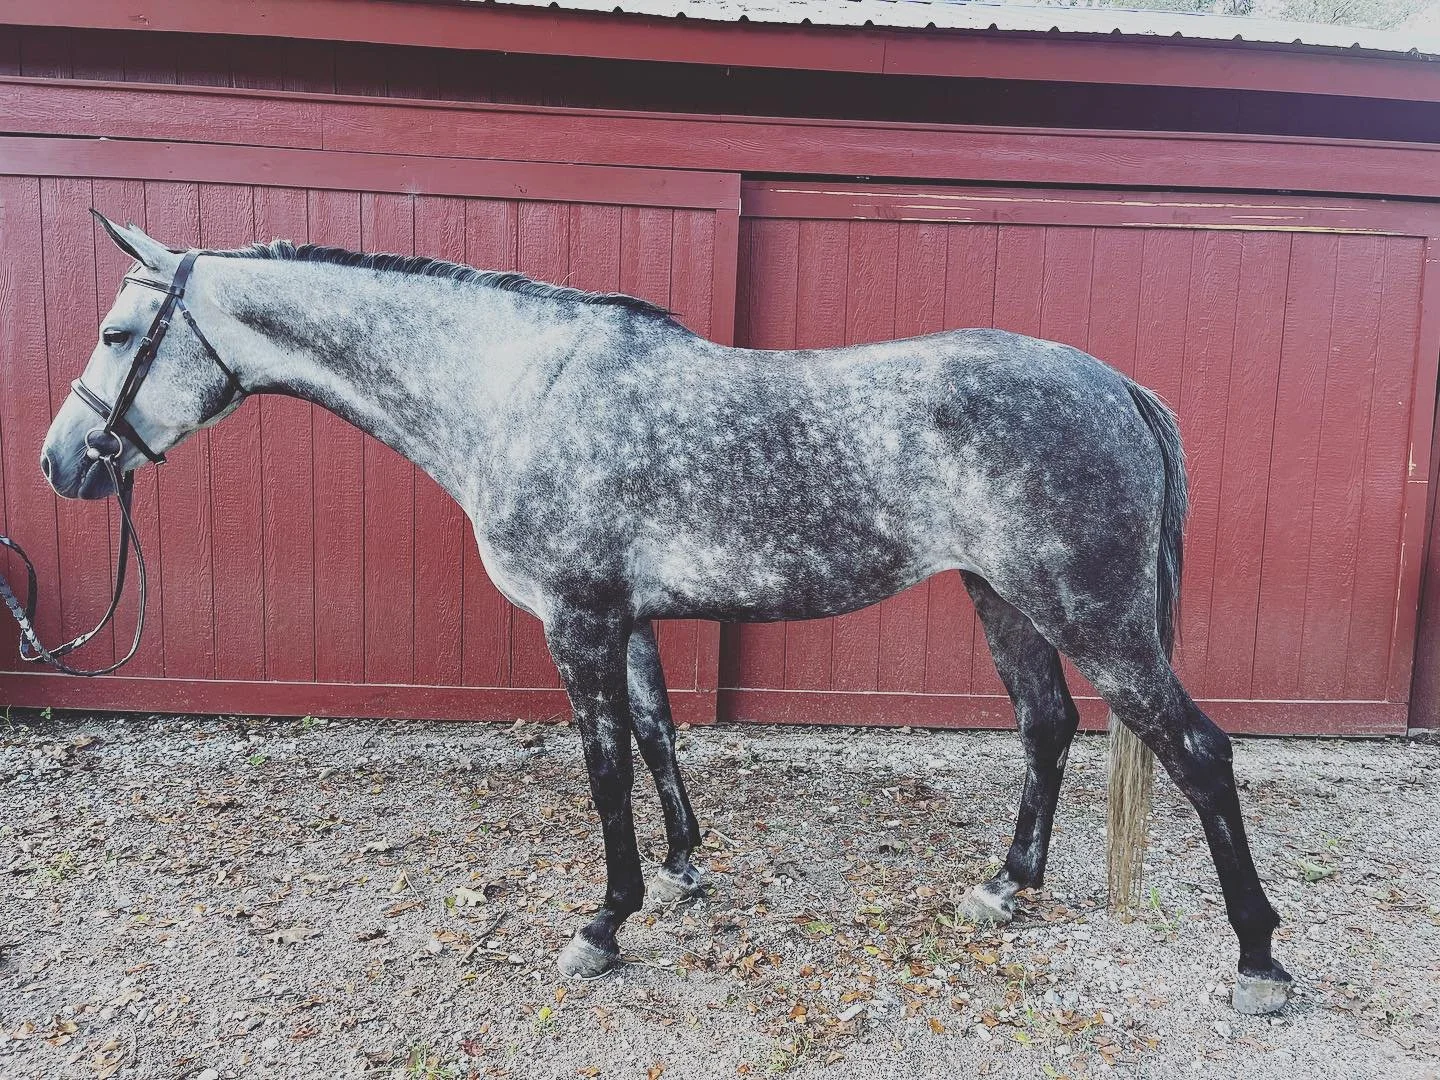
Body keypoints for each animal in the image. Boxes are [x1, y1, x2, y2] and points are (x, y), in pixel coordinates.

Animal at [38, 214, 1292, 1015]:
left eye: (116, 334)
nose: (63, 463)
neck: (518, 393)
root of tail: (1115, 384)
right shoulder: (626, 618)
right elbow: (656, 735)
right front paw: (688, 871)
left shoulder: (579, 619)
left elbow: (602, 770)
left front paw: (604, 925)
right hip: (1006, 599)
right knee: (1048, 727)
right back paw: (1003, 890)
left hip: (1092, 616)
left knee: (1197, 750)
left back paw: (1260, 965)